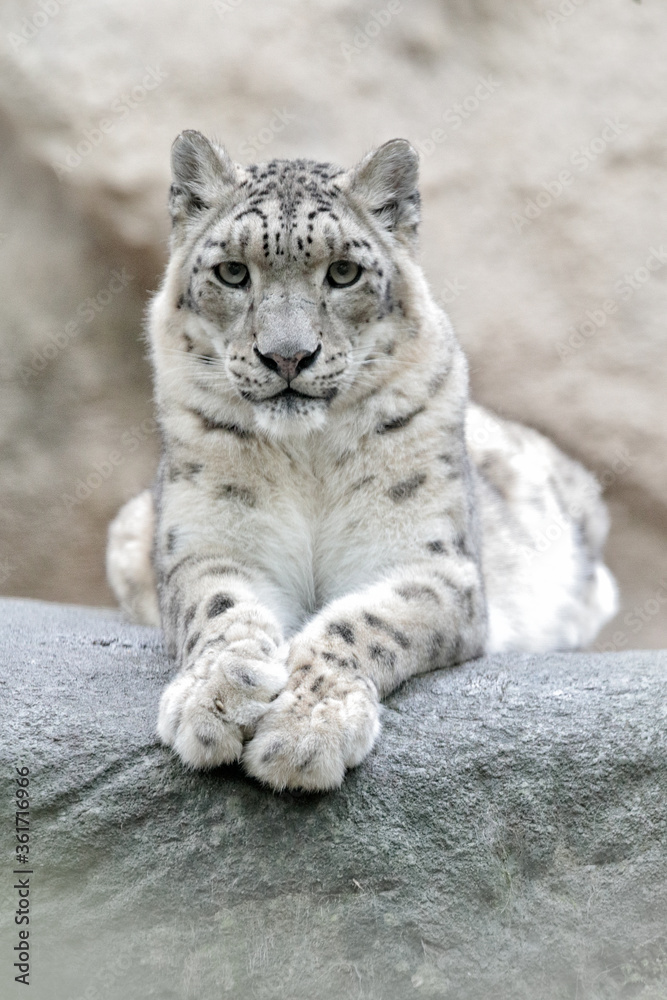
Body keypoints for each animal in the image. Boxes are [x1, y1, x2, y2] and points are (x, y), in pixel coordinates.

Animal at [106, 131, 618, 791]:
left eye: (343, 271)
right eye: (233, 272)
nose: (287, 356)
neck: (308, 458)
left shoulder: (429, 562)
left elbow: (365, 621)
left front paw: (304, 733)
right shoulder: (207, 544)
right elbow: (220, 609)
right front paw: (216, 698)